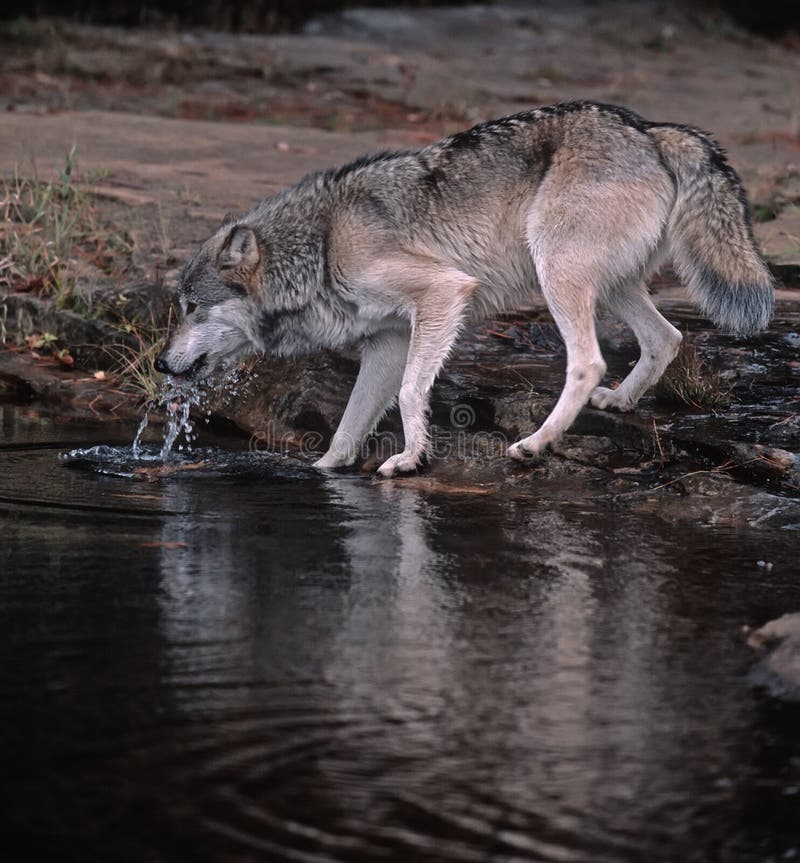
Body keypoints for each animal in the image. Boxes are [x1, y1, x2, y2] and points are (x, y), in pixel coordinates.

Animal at [155, 100, 774, 477]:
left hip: (557, 273)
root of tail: (649, 128)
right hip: (609, 285)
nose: (161, 364)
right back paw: (620, 400)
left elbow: (411, 393)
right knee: (667, 338)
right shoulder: (387, 343)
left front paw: (411, 458)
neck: (321, 245)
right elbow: (348, 428)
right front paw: (326, 473)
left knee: (589, 362)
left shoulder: (442, 294)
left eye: (191, 308)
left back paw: (535, 444)